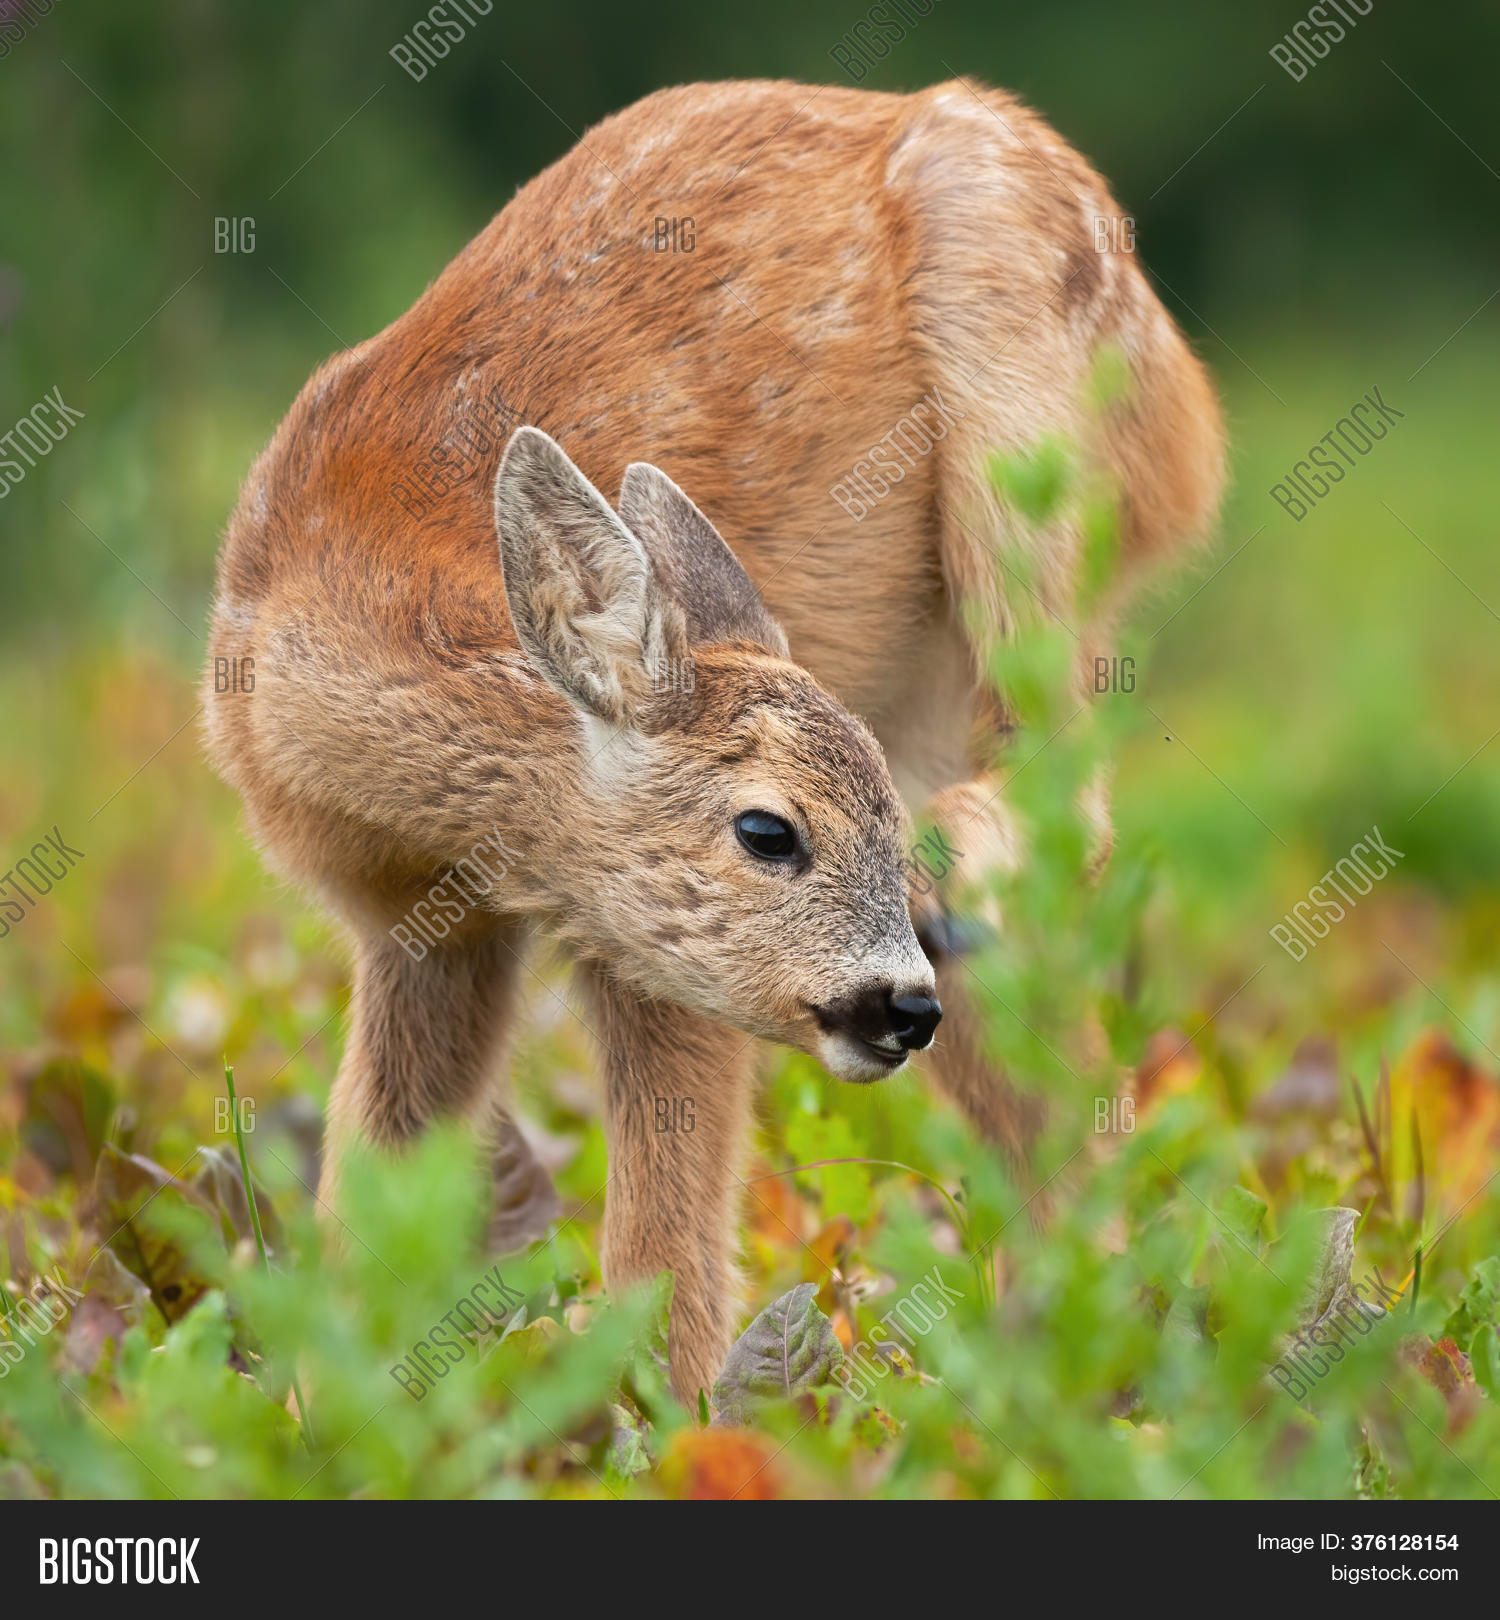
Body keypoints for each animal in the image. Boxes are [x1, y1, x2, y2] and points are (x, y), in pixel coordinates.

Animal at [205, 77, 1224, 1405]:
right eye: (768, 830)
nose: (895, 1007)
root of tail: (1197, 418)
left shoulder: (653, 961)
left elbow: (661, 1248)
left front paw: (672, 1424)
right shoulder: (413, 925)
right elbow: (364, 1210)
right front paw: (325, 1415)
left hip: (1034, 487)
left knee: (1072, 810)